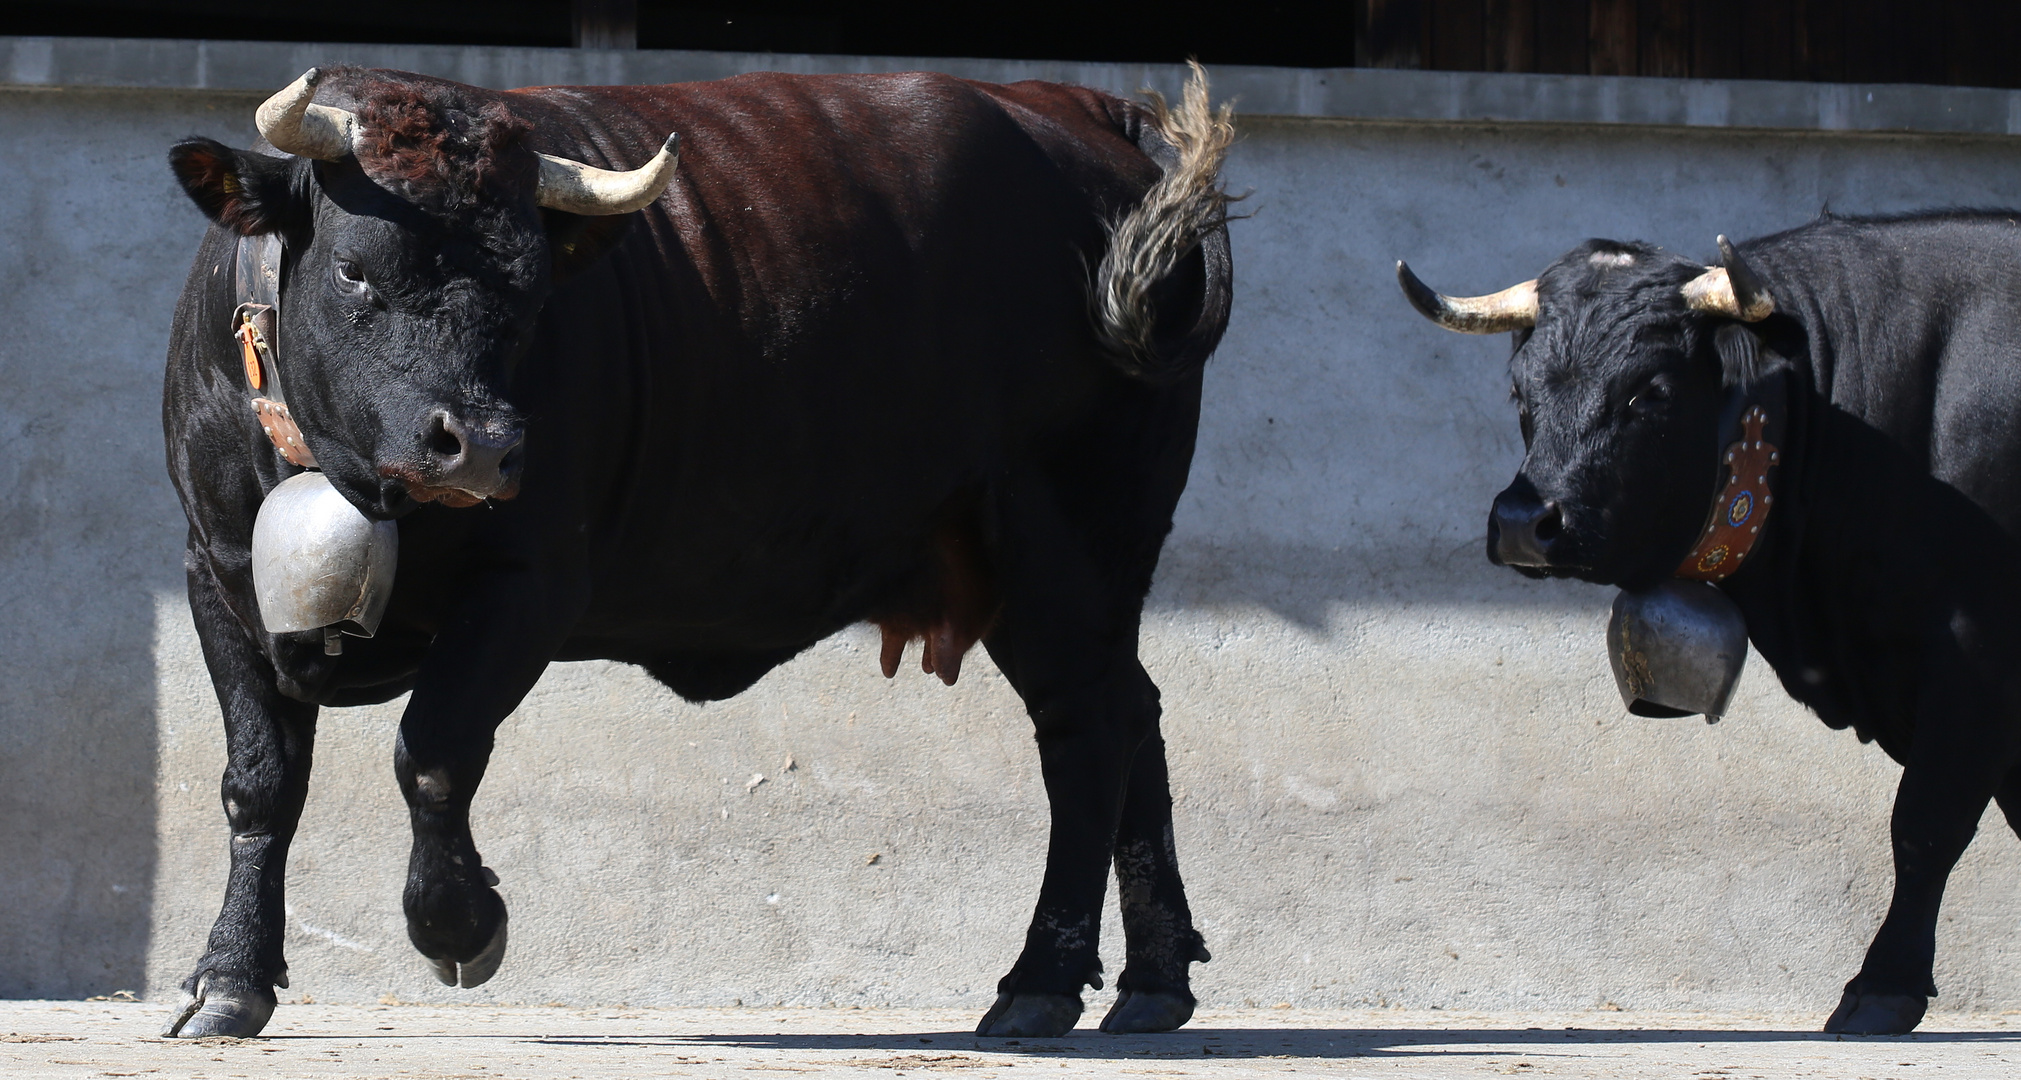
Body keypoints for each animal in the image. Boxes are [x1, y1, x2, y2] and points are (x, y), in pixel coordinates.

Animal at [159, 62, 1235, 1040]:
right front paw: (229, 978)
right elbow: (259, 782)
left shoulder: (528, 587)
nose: (486, 445)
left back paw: (1041, 981)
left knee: (1087, 731)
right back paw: (1152, 982)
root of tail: (1067, 103)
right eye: (355, 268)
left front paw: (459, 924)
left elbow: (434, 753)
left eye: (533, 286)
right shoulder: (214, 575)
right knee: (1131, 714)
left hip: (1064, 542)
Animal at [1398, 211, 2021, 1034]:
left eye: (1651, 391)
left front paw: (1883, 985)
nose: (1523, 522)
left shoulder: (1977, 655)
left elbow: (1925, 820)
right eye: (1518, 388)